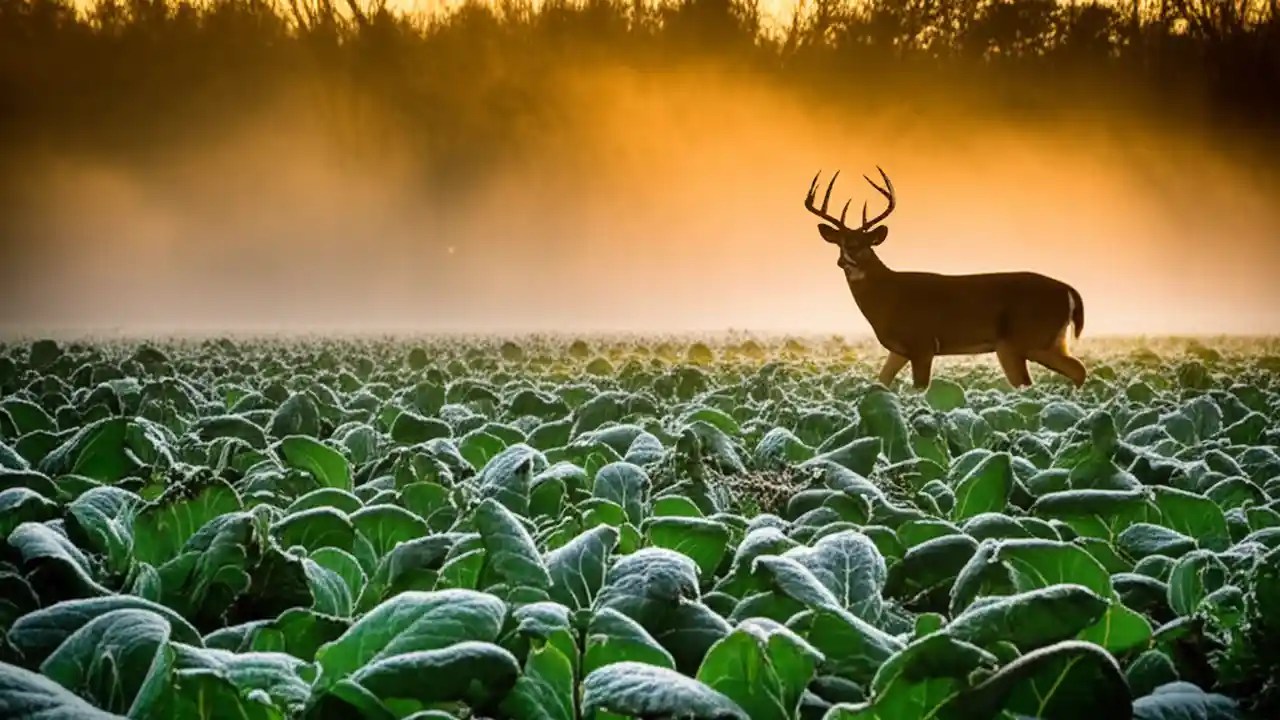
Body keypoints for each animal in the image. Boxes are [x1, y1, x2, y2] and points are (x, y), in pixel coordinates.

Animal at [805, 167, 1087, 390]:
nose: (846, 261)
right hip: (1046, 341)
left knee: (1042, 380)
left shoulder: (923, 343)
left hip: (1020, 341)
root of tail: (1069, 290)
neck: (888, 299)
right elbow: (881, 381)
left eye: (865, 245)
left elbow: (920, 388)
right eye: (841, 244)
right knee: (1077, 370)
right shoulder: (899, 349)